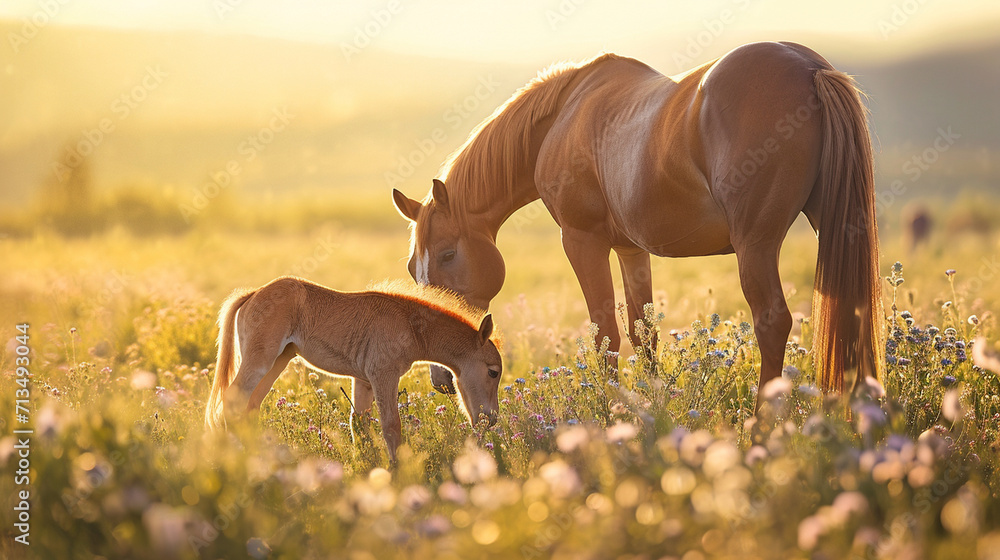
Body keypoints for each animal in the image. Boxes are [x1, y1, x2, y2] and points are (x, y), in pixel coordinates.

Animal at [204, 276, 503, 462]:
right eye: (493, 372)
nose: (491, 419)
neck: (410, 324)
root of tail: (253, 294)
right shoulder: (383, 375)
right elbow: (391, 426)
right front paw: (397, 474)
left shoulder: (364, 380)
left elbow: (359, 424)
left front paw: (366, 465)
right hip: (261, 360)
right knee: (231, 400)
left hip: (278, 361)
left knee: (249, 406)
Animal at [392, 41, 883, 399]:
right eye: (412, 268)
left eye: (448, 254)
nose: (439, 377)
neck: (562, 118)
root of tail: (807, 67)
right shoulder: (631, 249)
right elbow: (642, 334)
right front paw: (653, 406)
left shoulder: (582, 241)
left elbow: (605, 337)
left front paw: (613, 414)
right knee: (852, 309)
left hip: (756, 245)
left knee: (772, 323)